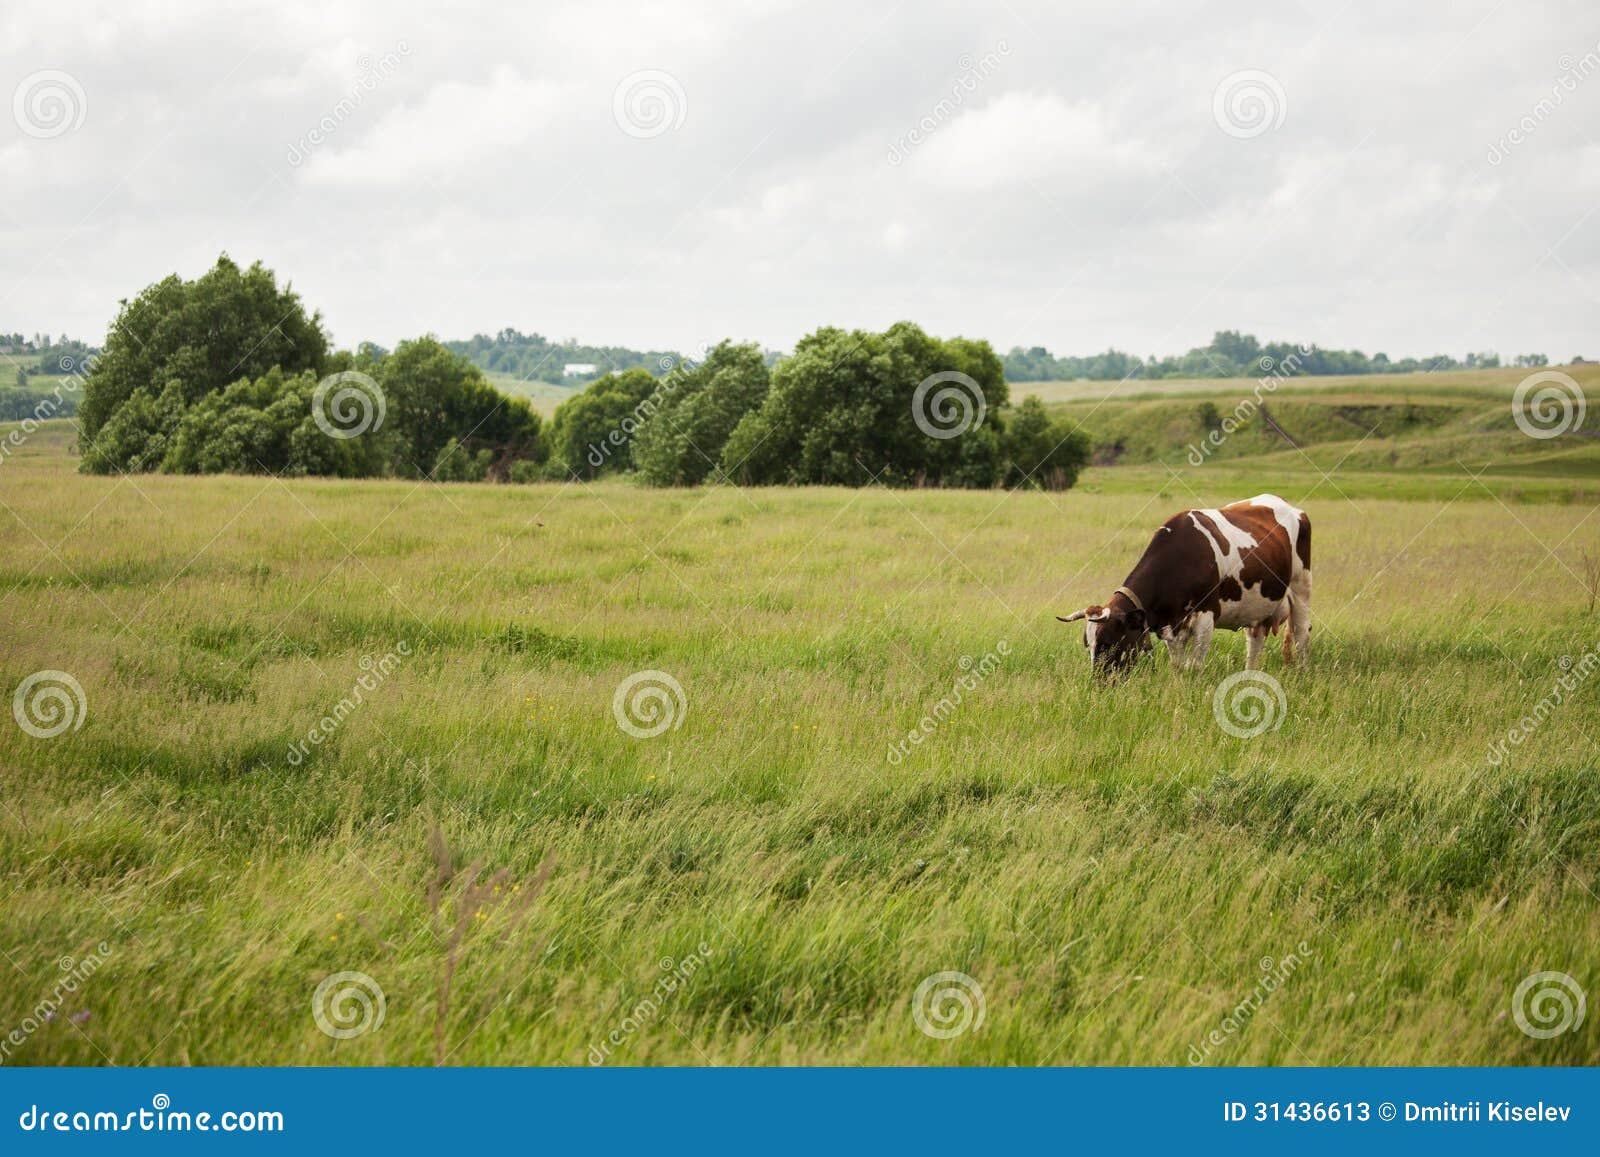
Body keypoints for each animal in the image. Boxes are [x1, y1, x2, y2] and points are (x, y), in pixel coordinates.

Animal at [1058, 494, 1311, 677]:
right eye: (1087, 645)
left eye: (1109, 643)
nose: (1099, 682)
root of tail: (1291, 507)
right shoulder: (1170, 626)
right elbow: (1178, 665)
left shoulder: (1207, 616)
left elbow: (1194, 666)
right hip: (1258, 608)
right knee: (1255, 641)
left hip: (1301, 587)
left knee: (1301, 633)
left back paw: (1301, 673)